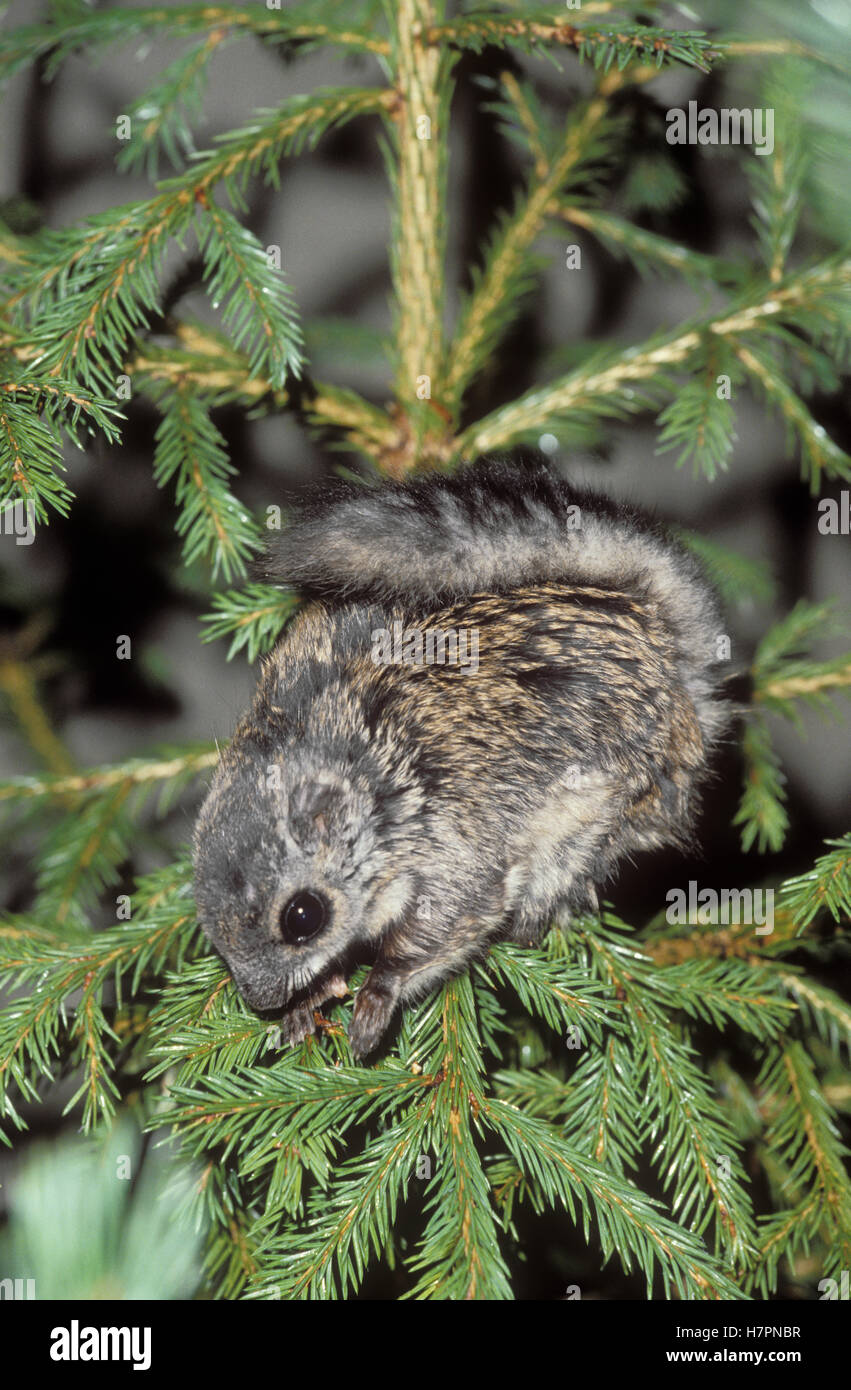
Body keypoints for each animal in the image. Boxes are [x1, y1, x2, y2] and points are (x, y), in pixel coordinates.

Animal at [193, 455, 732, 1059]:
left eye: (303, 917)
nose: (260, 1001)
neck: (380, 776)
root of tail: (679, 678)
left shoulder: (458, 854)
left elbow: (443, 931)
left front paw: (373, 999)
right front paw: (315, 997)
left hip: (598, 817)